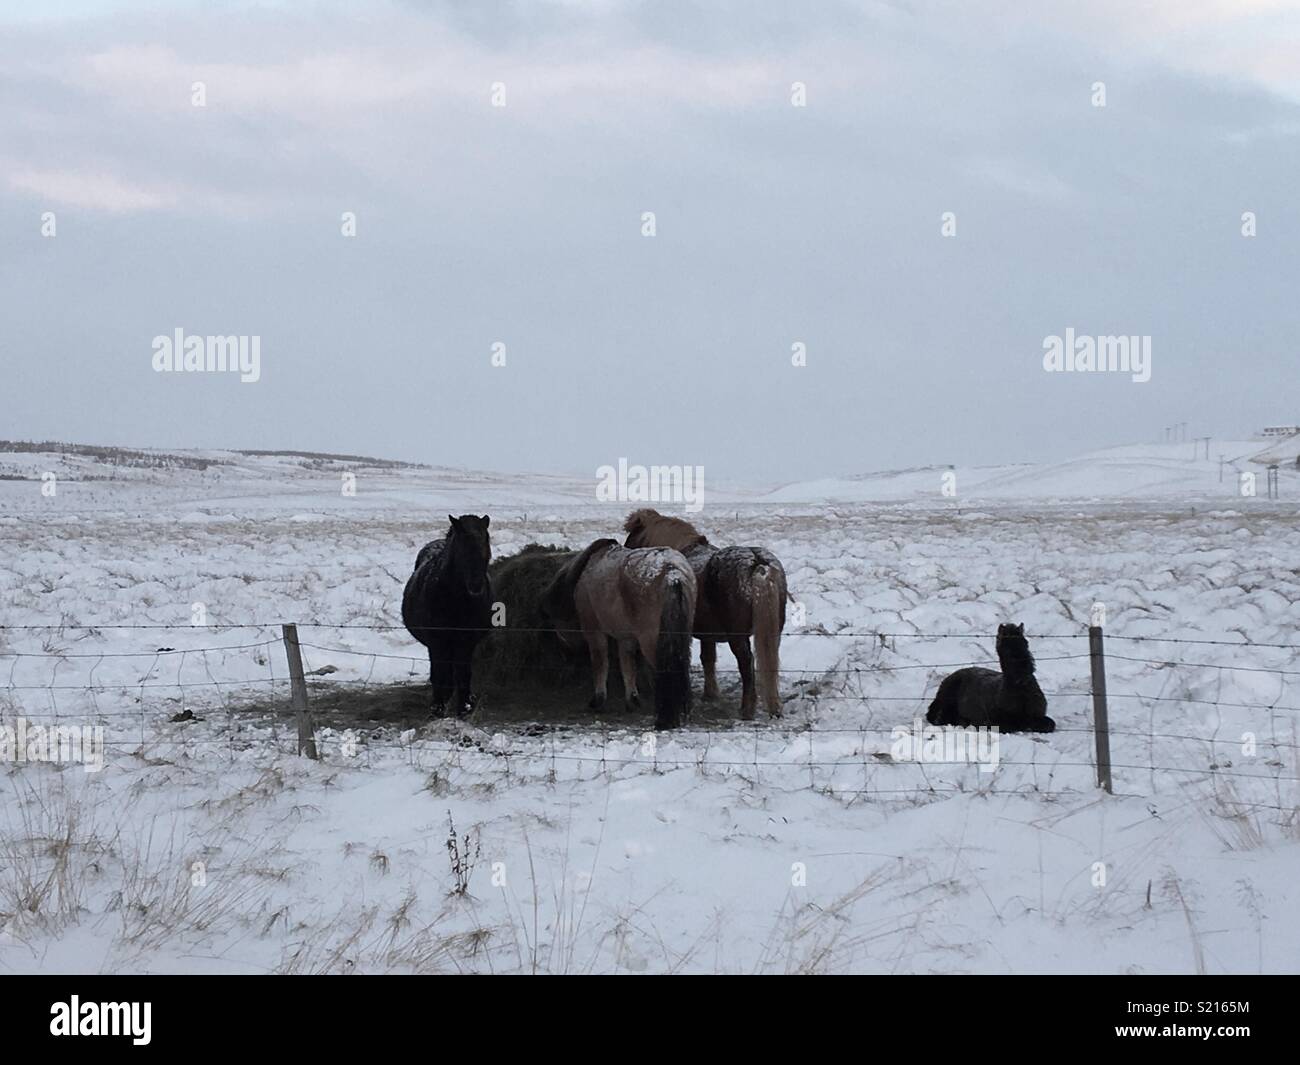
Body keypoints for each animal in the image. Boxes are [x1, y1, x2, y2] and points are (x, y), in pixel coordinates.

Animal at [401, 514, 493, 717]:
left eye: (486, 543)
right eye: (461, 546)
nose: (476, 586)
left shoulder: (466, 641)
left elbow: (463, 673)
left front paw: (464, 706)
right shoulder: (437, 641)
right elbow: (439, 673)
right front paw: (438, 707)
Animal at [540, 538, 696, 730]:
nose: (564, 656)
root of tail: (672, 572)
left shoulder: (594, 632)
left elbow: (600, 663)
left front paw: (598, 700)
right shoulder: (626, 637)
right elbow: (627, 666)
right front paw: (632, 700)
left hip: (651, 641)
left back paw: (666, 718)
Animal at [623, 509, 787, 719]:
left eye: (632, 537)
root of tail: (757, 562)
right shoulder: (708, 634)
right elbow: (708, 659)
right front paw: (711, 694)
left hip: (738, 637)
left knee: (747, 664)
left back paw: (747, 709)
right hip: (773, 632)